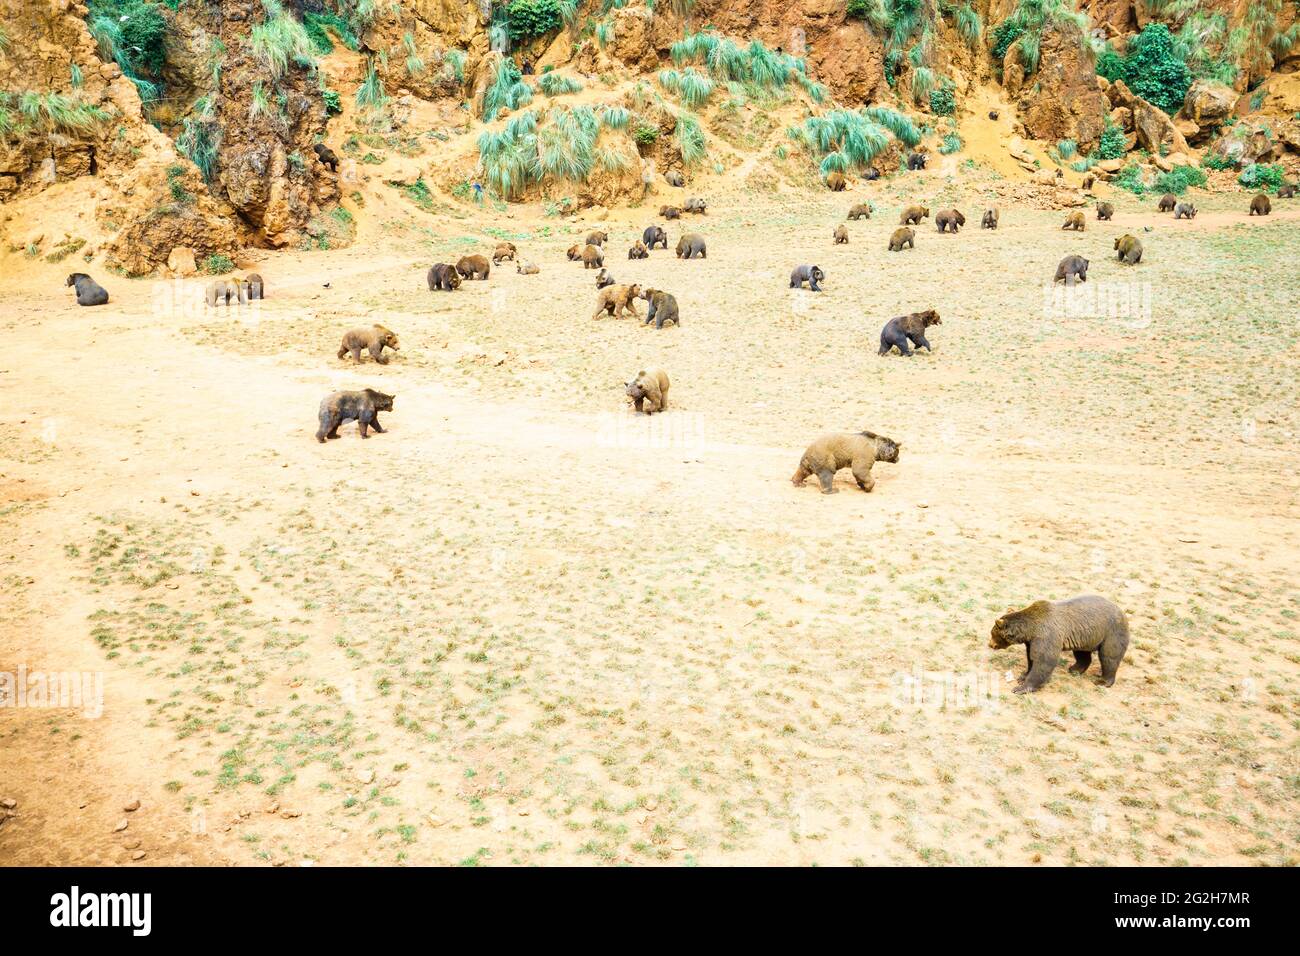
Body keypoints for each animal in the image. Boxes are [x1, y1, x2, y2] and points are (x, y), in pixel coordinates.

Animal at [988, 595, 1130, 693]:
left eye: (992, 634)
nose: (990, 644)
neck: (1030, 630)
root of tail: (1122, 611)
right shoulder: (1032, 641)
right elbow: (1031, 658)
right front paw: (1023, 675)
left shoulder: (1046, 635)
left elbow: (1044, 660)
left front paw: (1021, 688)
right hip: (1085, 636)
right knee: (1082, 654)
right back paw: (1074, 669)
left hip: (1112, 631)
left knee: (1109, 656)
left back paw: (1103, 681)